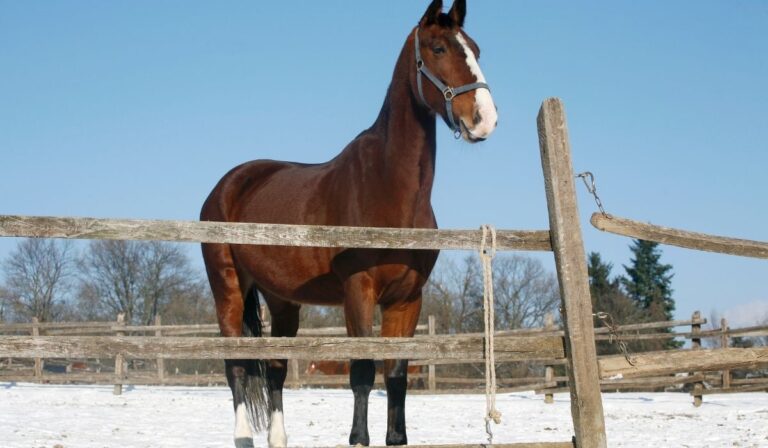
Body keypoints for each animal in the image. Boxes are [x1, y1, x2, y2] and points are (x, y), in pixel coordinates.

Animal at [200, 1, 497, 447]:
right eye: (439, 48)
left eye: (476, 49)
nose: (484, 119)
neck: (389, 189)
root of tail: (228, 184)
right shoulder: (358, 292)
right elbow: (361, 371)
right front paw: (358, 437)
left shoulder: (407, 299)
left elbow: (395, 374)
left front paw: (397, 437)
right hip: (229, 289)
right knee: (235, 365)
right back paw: (243, 436)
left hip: (281, 301)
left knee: (275, 368)